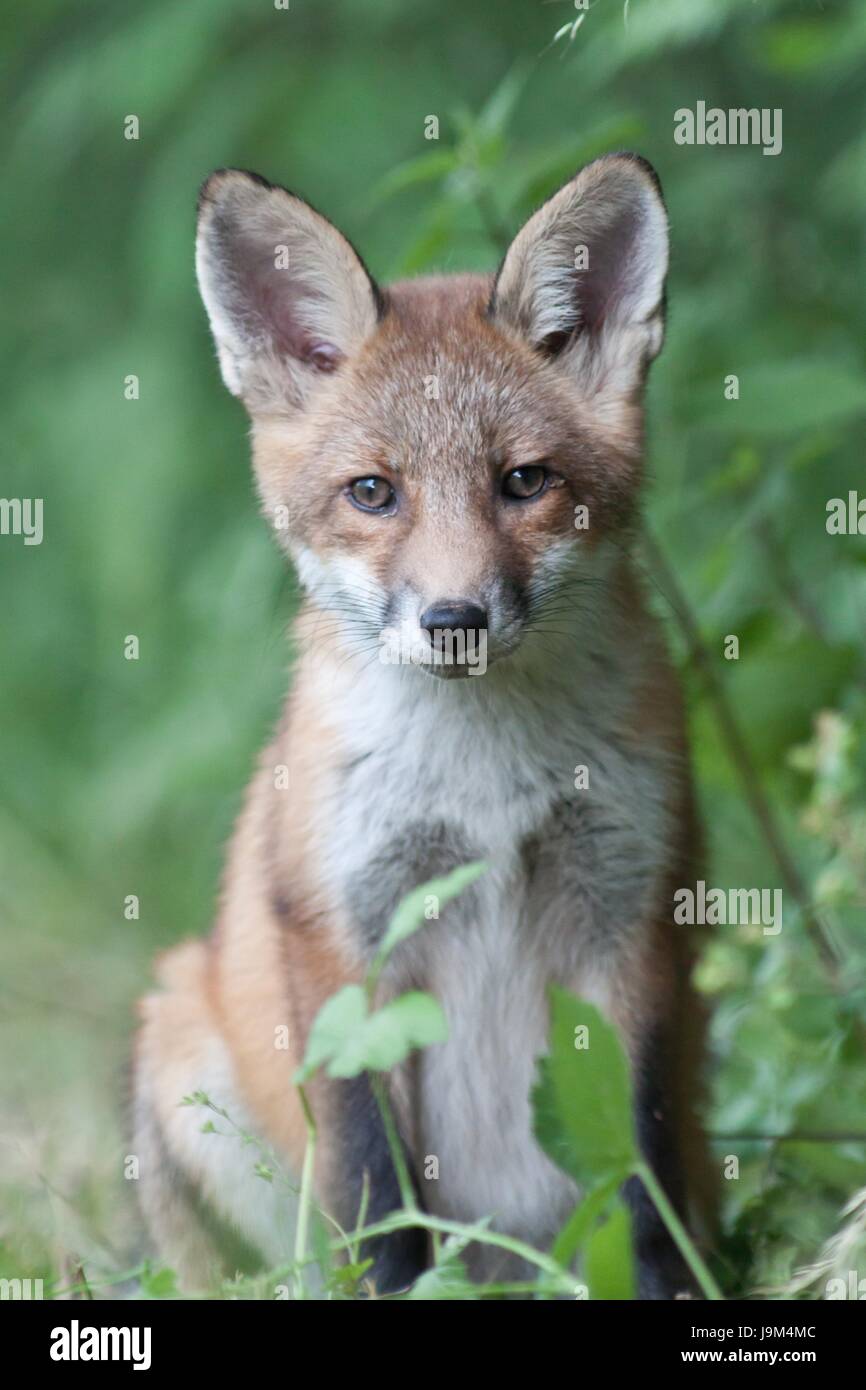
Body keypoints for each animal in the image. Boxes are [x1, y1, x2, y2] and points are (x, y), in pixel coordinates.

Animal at [132, 152, 711, 1300]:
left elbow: (639, 1157)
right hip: (178, 1037)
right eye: (373, 492)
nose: (454, 619)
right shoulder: (346, 938)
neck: (484, 783)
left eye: (524, 482)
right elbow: (376, 1185)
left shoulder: (631, 913)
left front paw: (667, 1281)